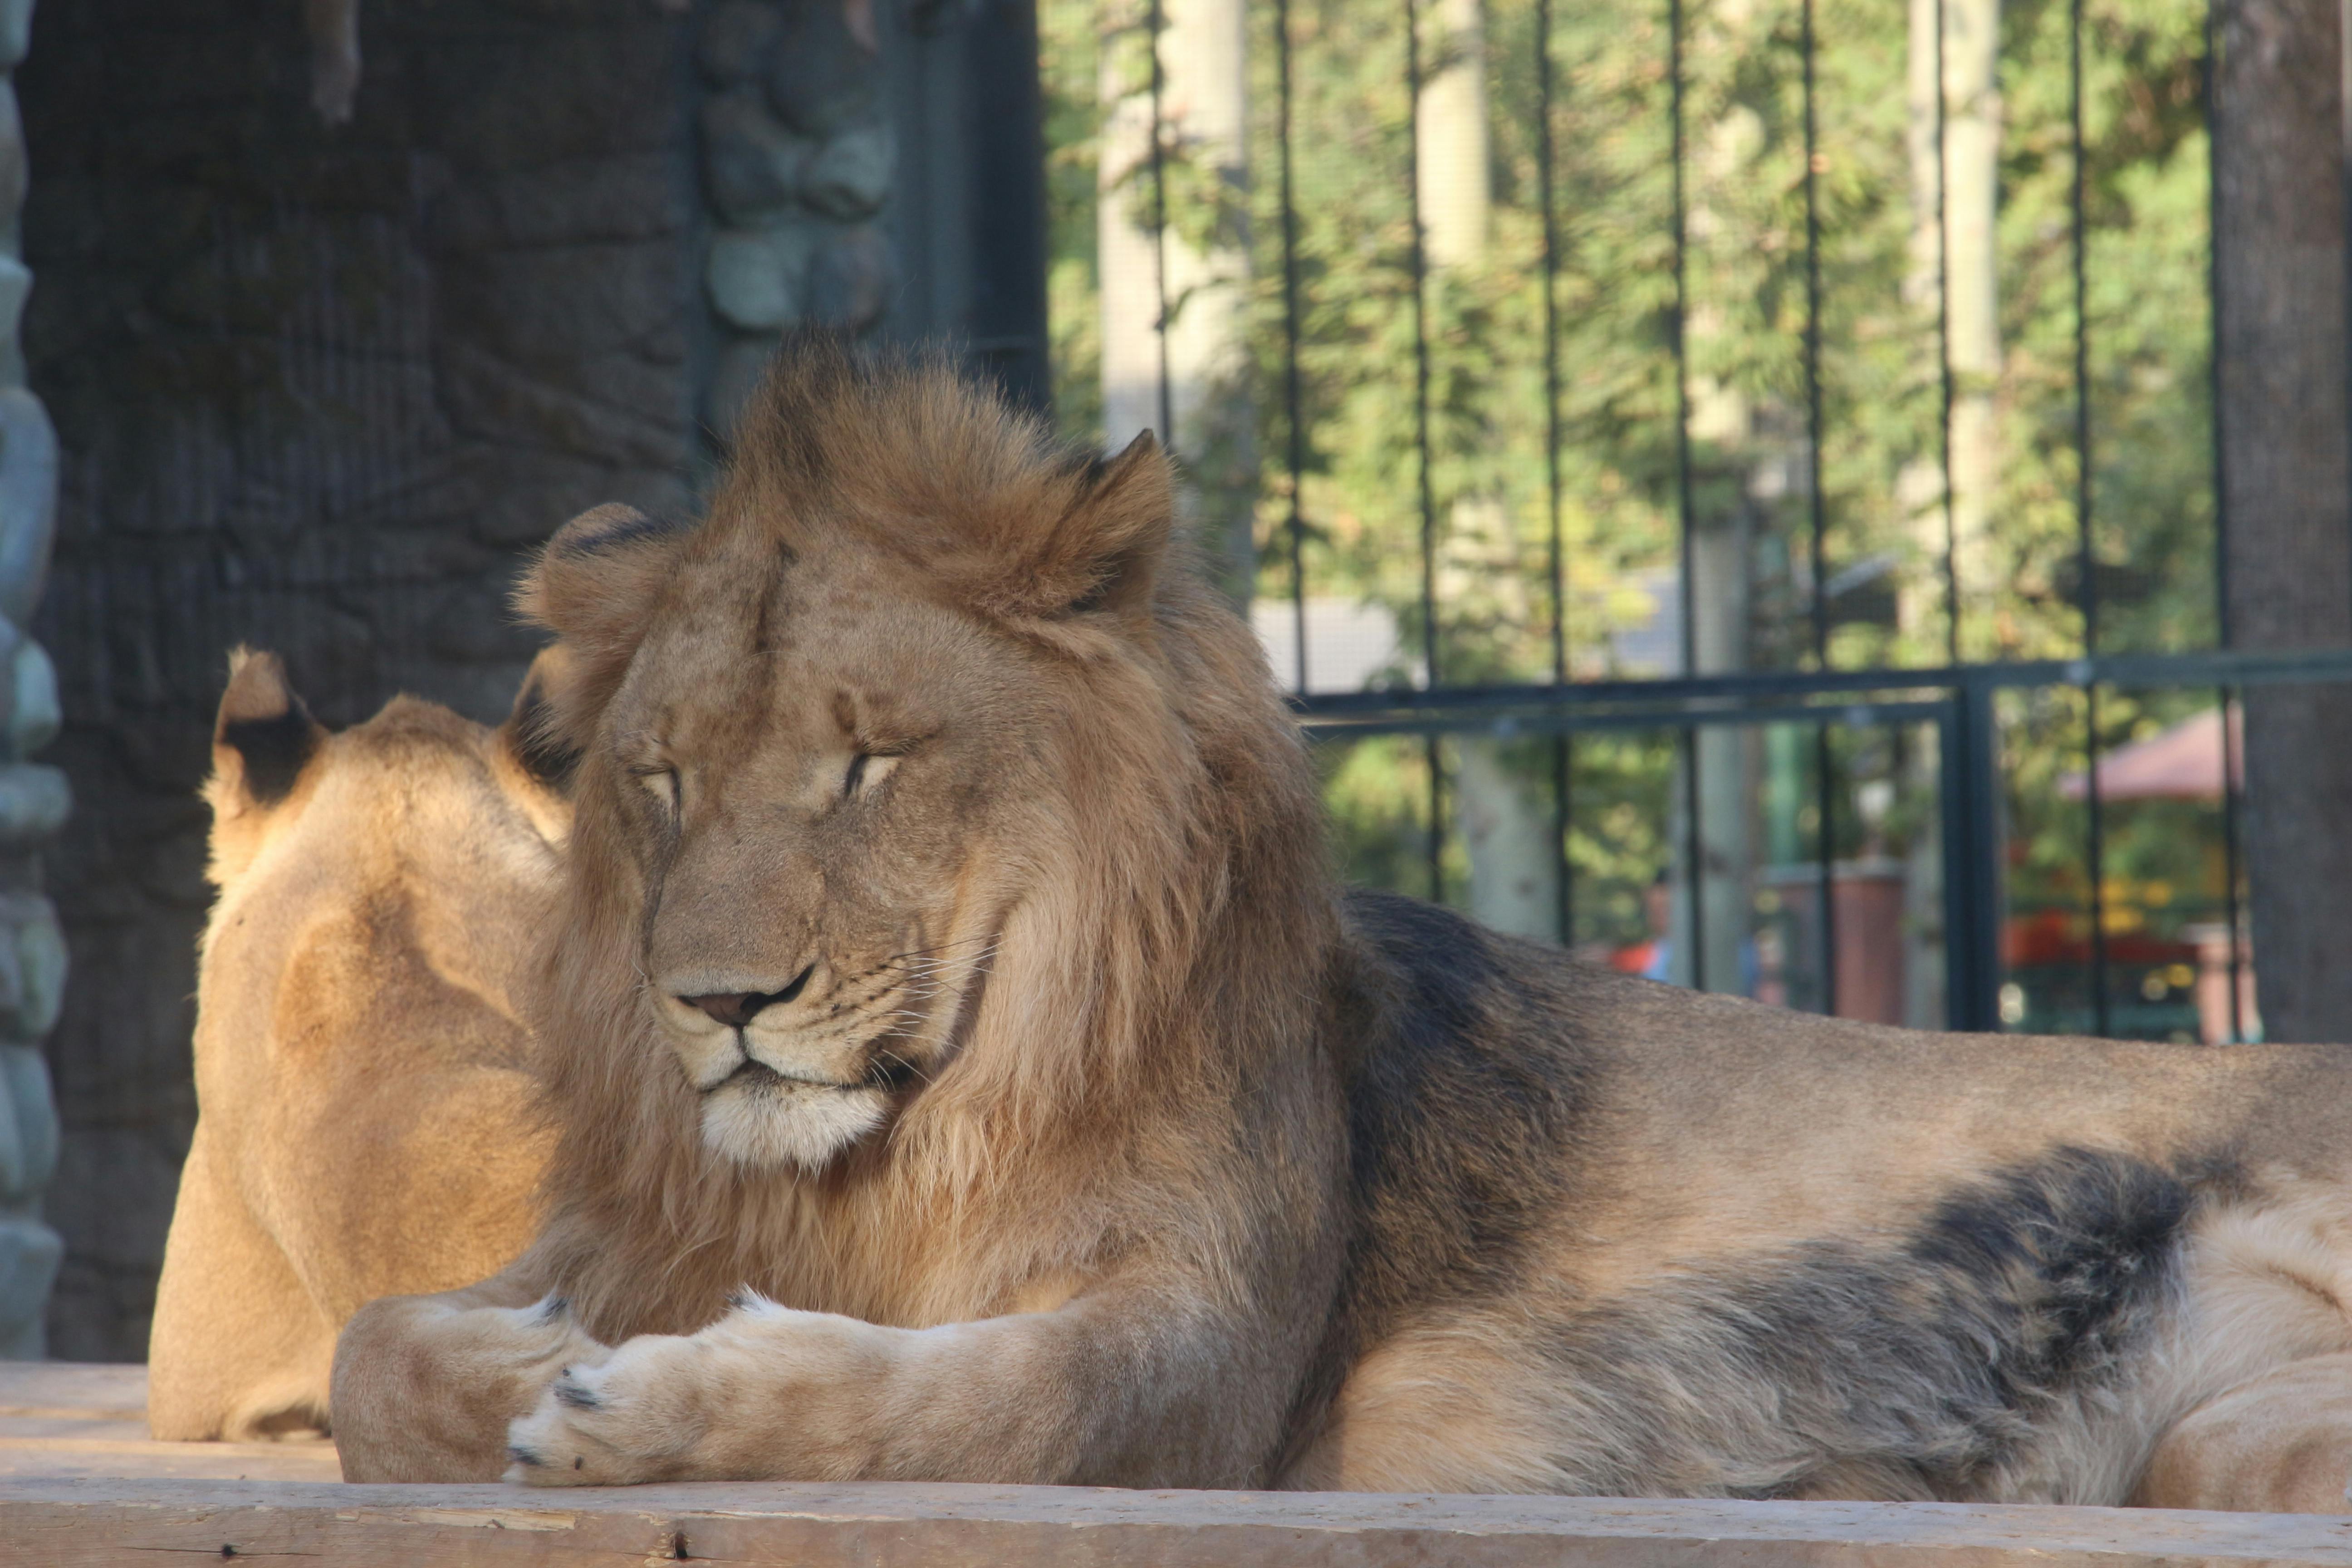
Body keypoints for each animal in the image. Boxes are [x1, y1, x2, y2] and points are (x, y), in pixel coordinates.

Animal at [331, 337, 2352, 1507]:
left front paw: (637, 1397)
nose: (719, 1003)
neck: (904, 1140)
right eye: (664, 780)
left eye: (869, 759)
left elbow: (981, 1409)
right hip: (2218, 1435)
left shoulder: (1210, 1362)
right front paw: (525, 1354)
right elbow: (367, 1349)